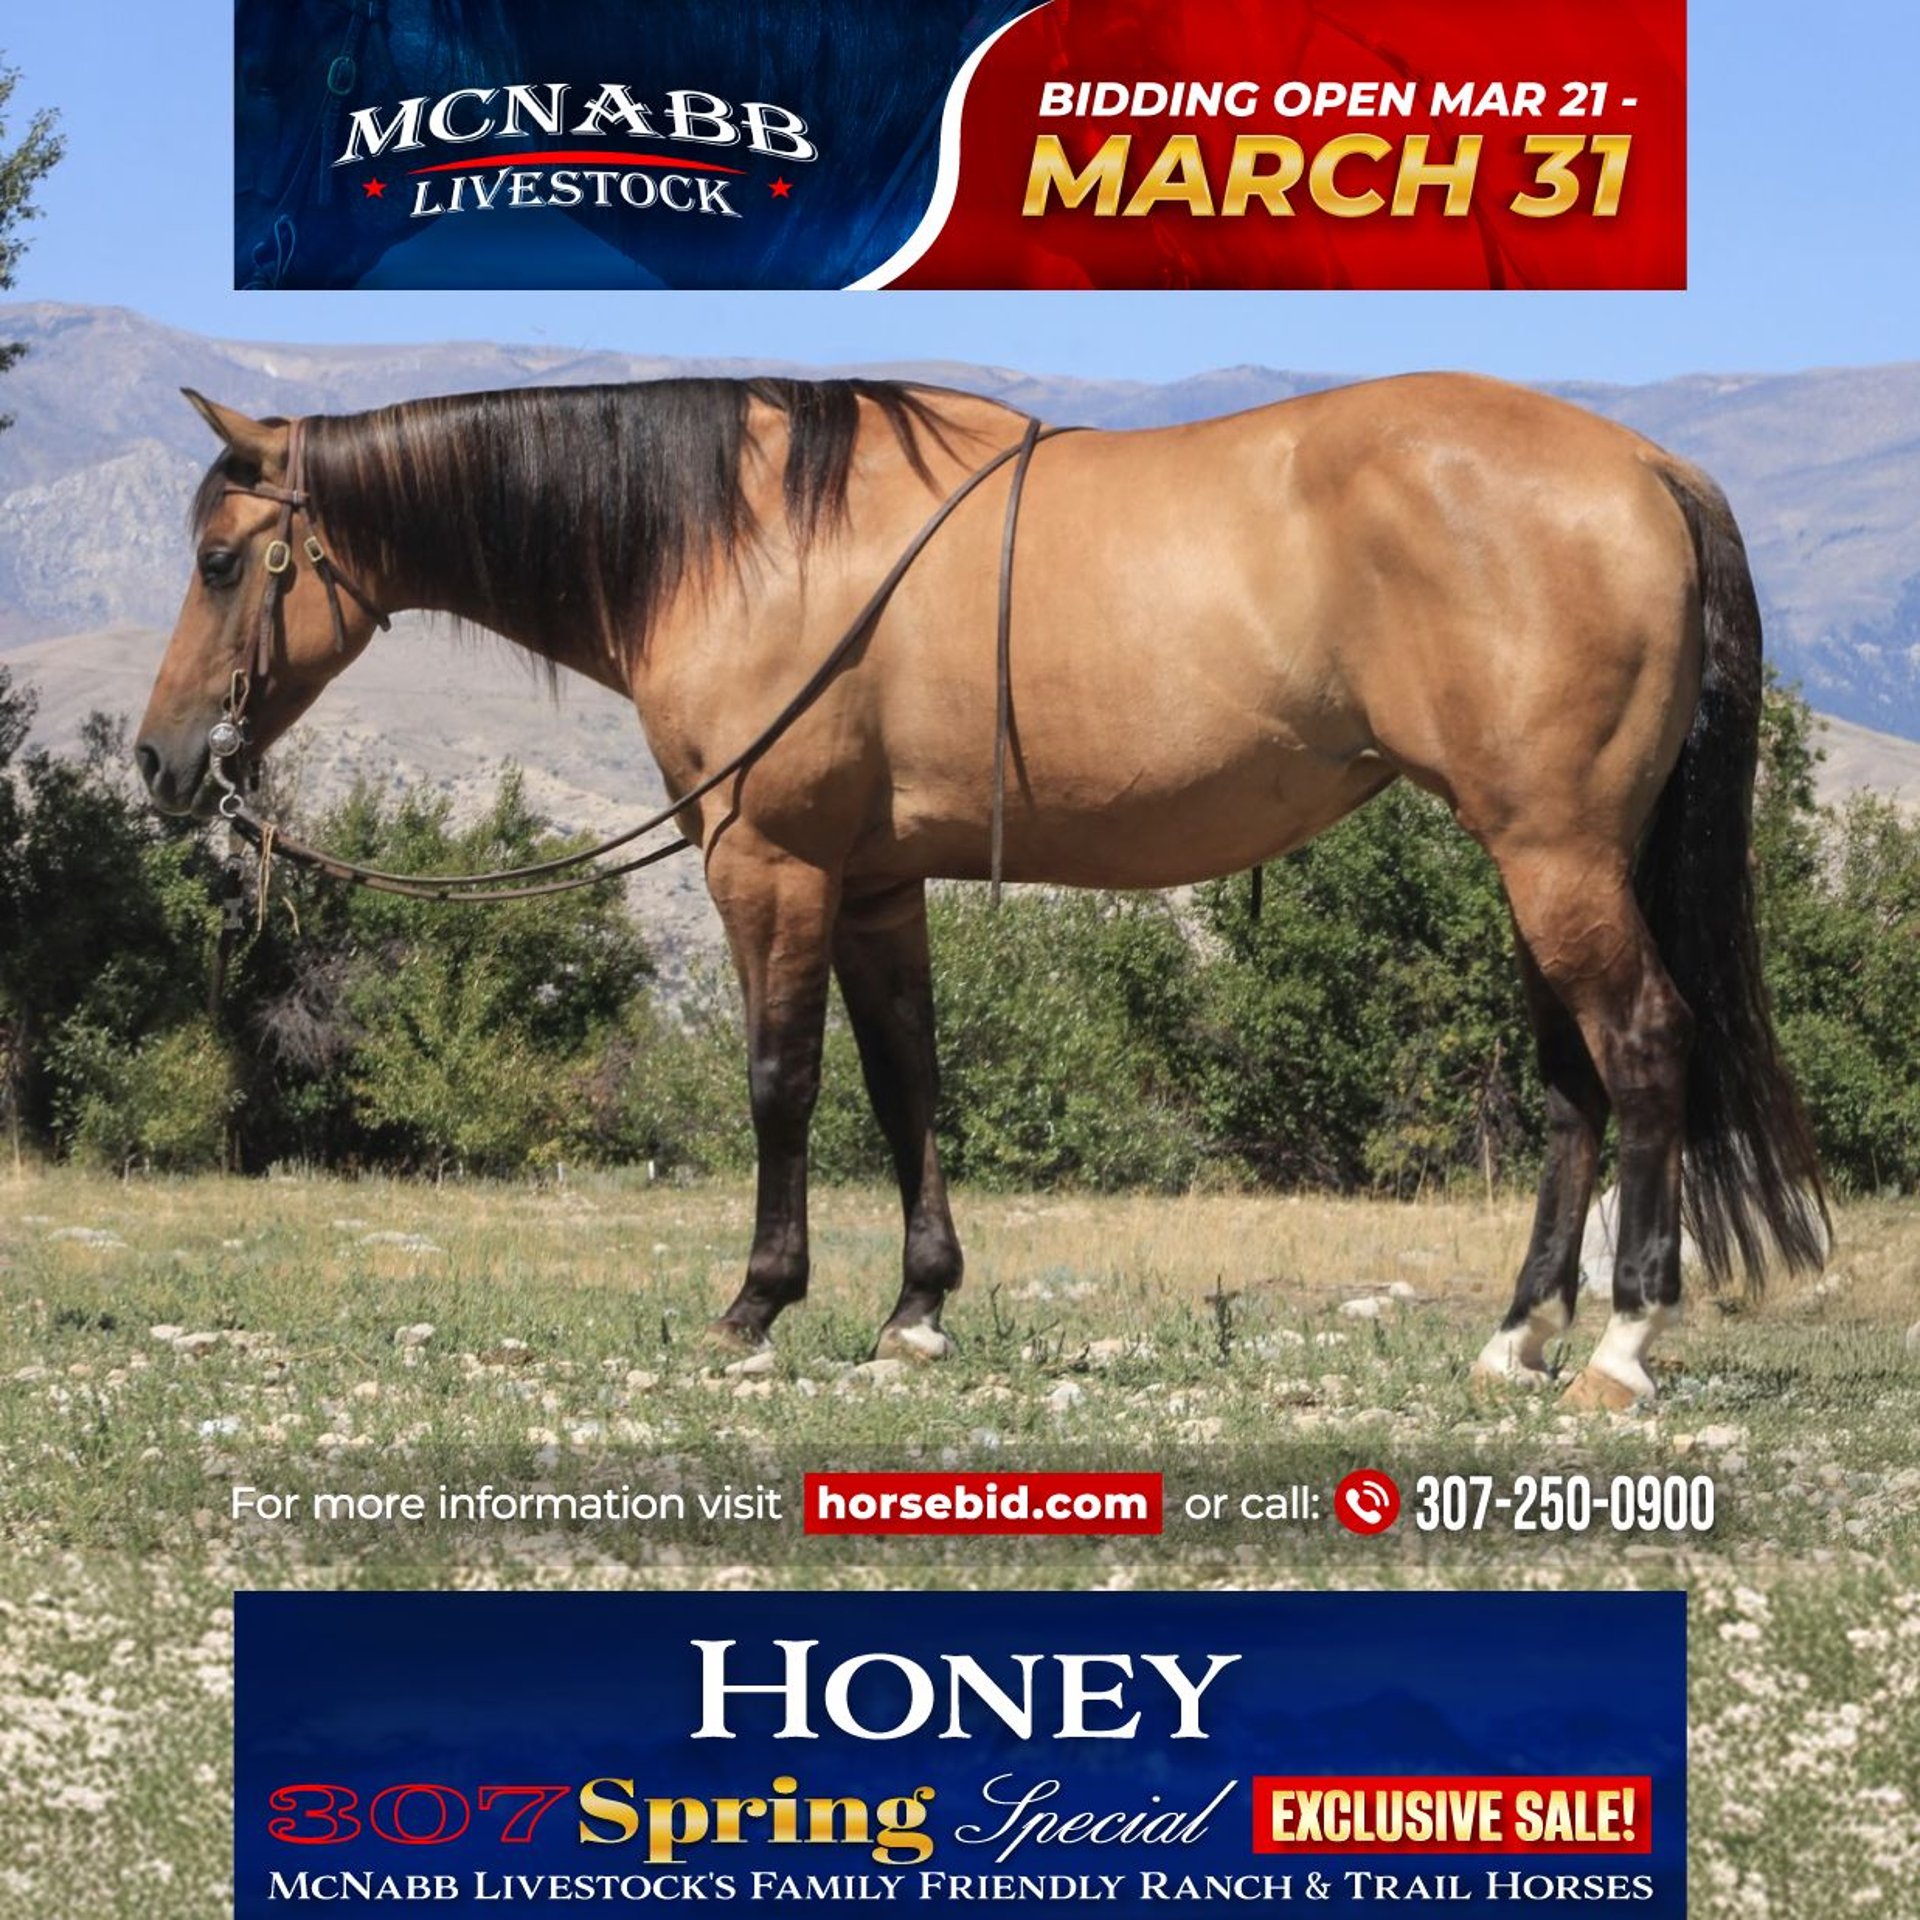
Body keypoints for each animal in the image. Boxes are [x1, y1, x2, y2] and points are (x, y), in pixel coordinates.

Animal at [134, 373, 1829, 1410]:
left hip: (1556, 856)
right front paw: (916, 1311)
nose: (160, 761)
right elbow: (908, 1086)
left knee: (1643, 1050)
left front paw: (757, 1307)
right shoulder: (880, 884)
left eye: (220, 560)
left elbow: (780, 1081)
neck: (751, 537)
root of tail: (1644, 467)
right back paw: (1516, 1333)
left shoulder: (771, 865)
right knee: (1572, 1081)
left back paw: (1621, 1341)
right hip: (1543, 859)